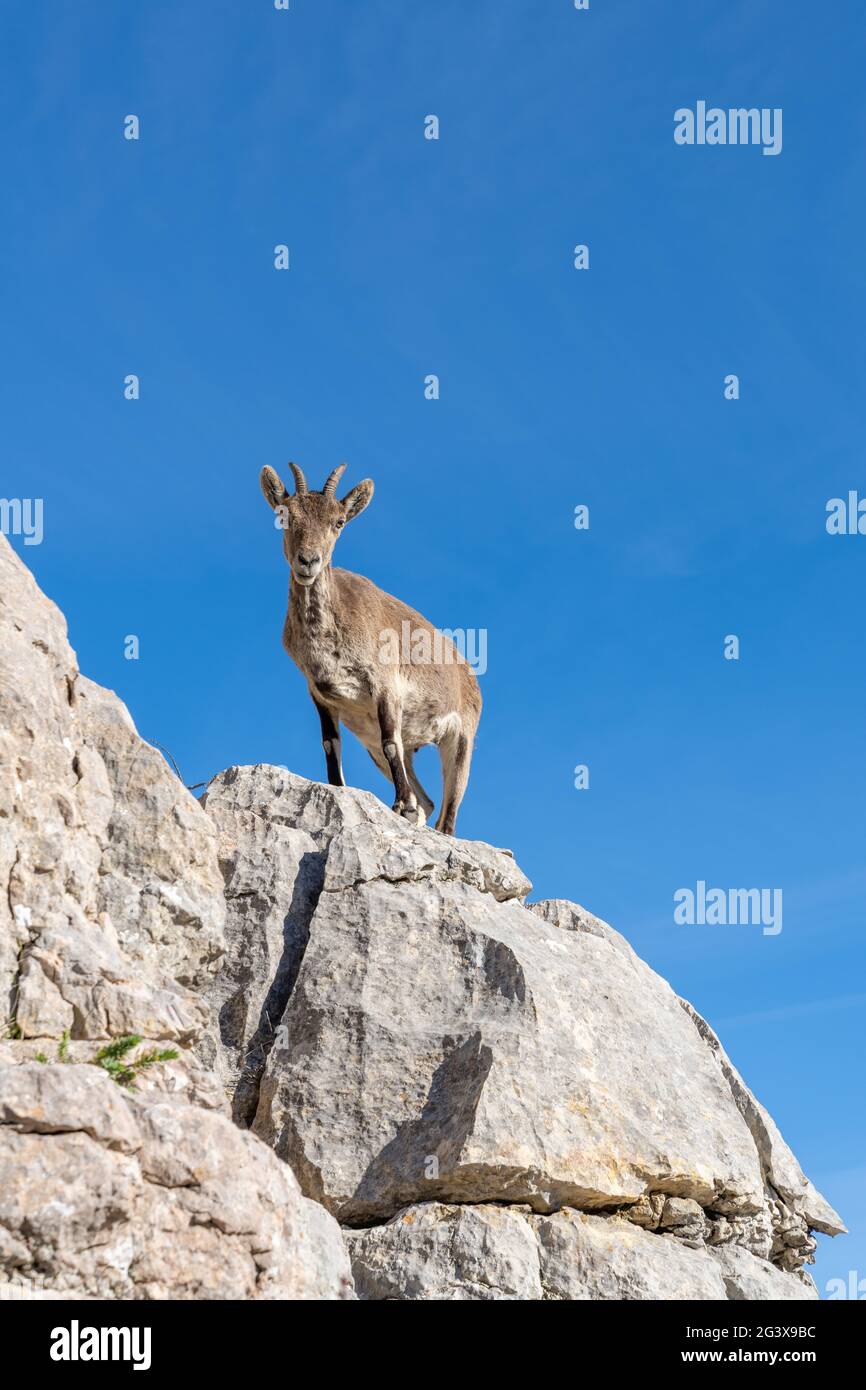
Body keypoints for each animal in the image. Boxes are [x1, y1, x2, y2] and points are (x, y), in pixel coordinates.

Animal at [259, 461, 482, 835]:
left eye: (338, 522)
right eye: (285, 515)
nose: (308, 561)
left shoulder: (386, 686)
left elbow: (391, 742)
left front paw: (400, 805)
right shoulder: (320, 694)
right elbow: (330, 745)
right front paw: (338, 792)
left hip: (462, 737)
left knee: (447, 814)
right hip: (375, 741)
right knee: (427, 800)